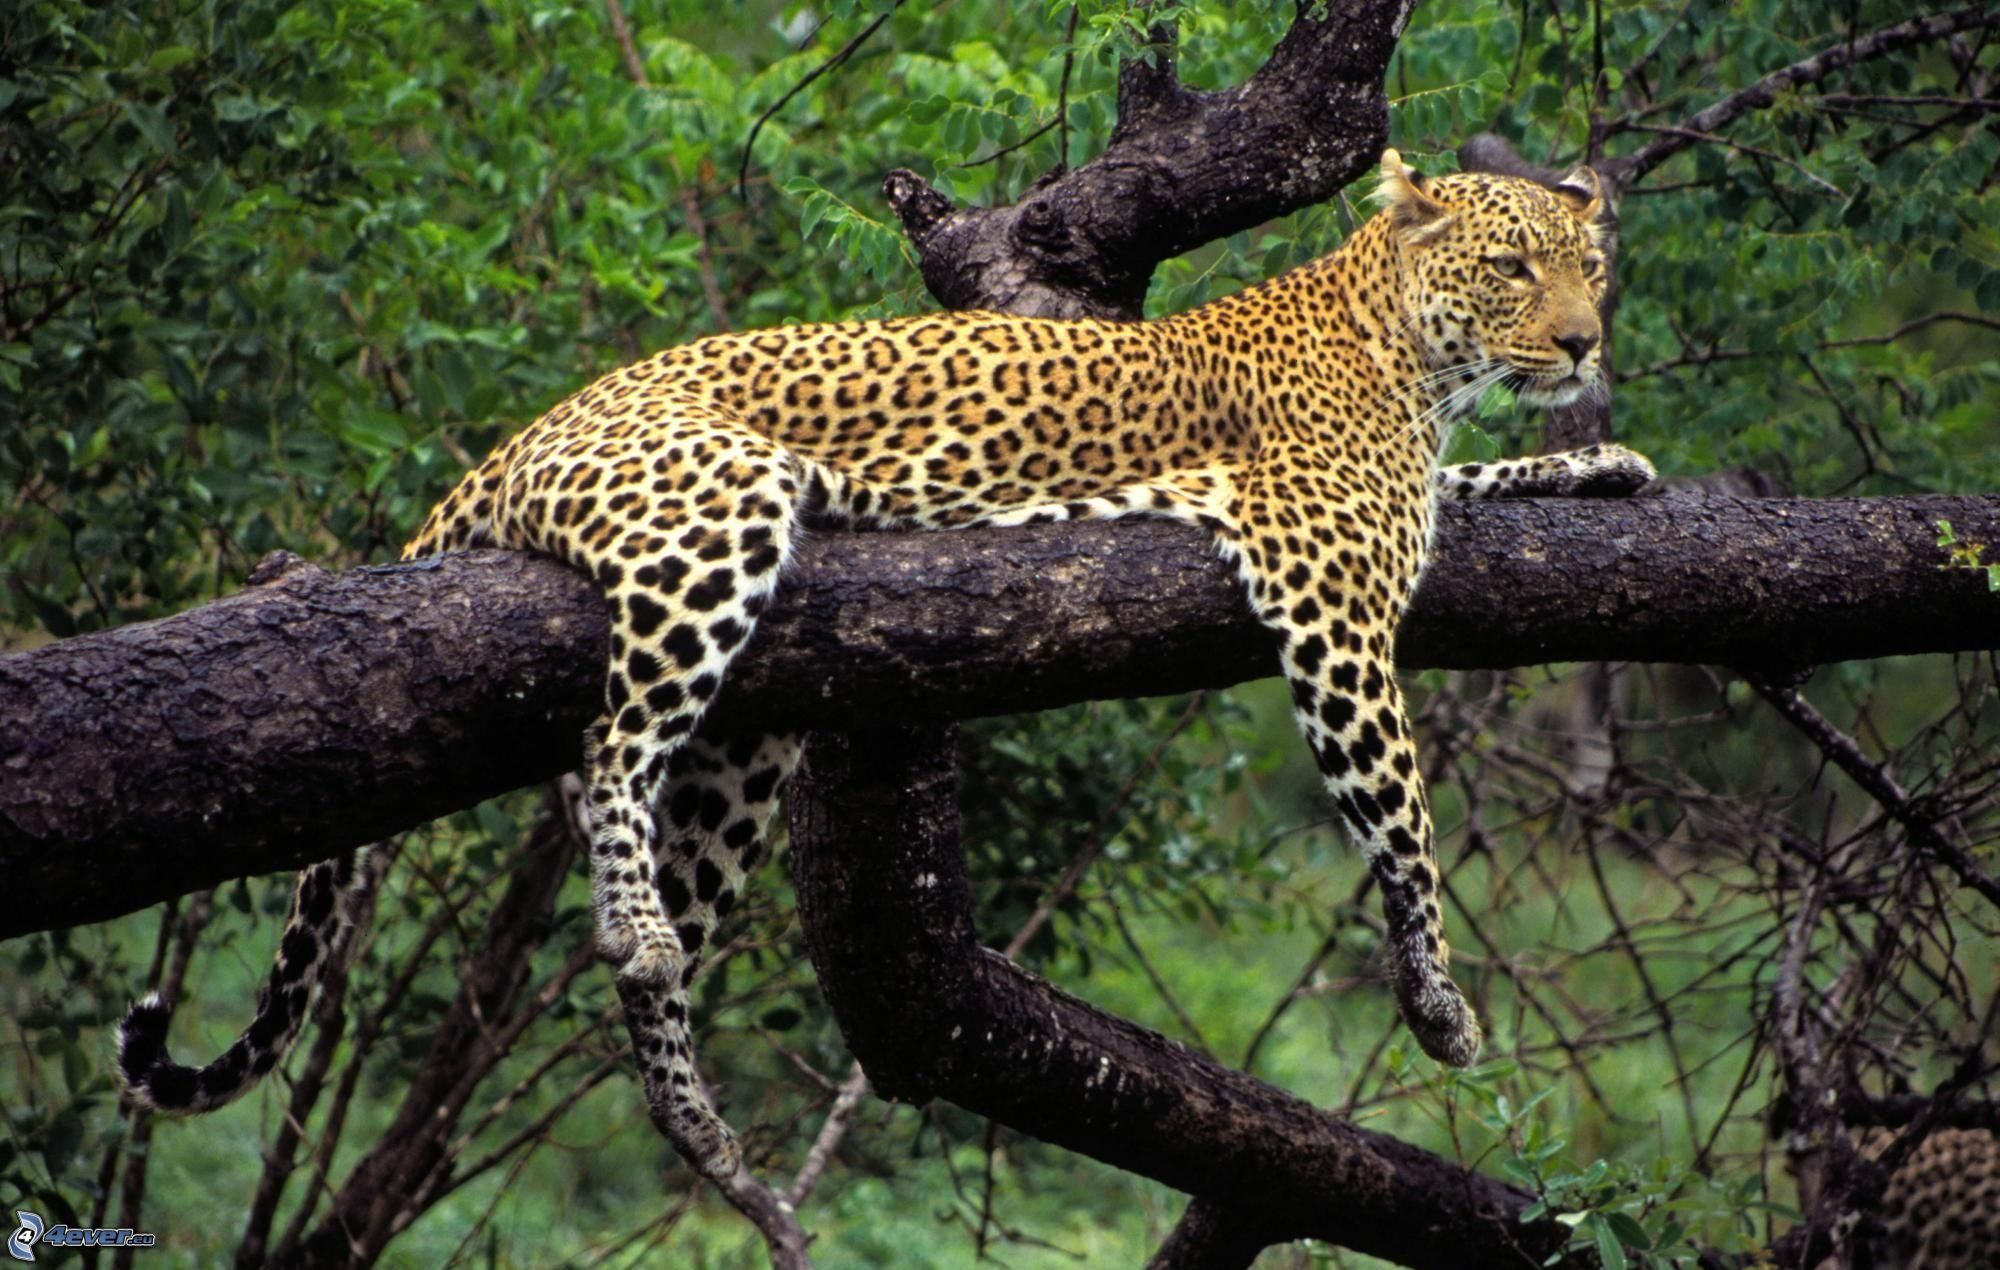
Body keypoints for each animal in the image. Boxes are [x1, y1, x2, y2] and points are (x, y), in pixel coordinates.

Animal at [120, 149, 1656, 1180]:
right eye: (1513, 267)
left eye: (1591, 269)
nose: (1585, 341)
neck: (1406, 349)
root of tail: (524, 432)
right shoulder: (1328, 589)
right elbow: (1405, 821)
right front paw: (1440, 999)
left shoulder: (1400, 510)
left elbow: (1485, 484)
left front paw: (1601, 463)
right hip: (712, 516)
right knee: (610, 746)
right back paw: (636, 927)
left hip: (744, 742)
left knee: (666, 873)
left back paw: (688, 1110)